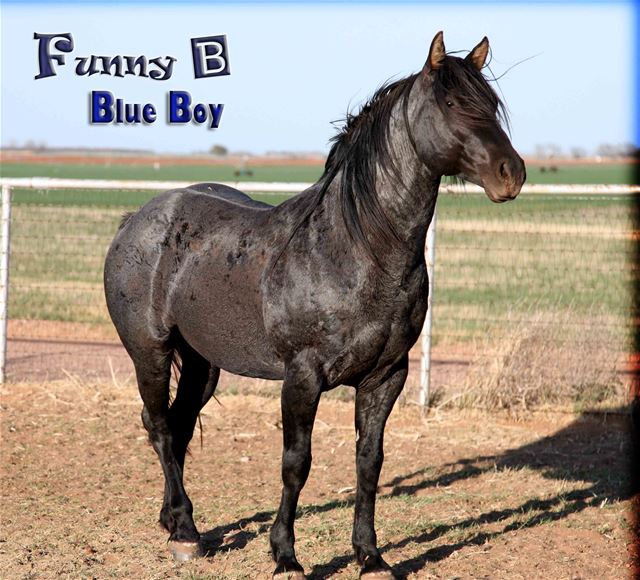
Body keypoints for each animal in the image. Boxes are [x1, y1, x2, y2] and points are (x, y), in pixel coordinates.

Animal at [104, 31, 525, 579]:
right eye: (452, 103)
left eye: (492, 104)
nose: (511, 173)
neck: (354, 248)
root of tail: (137, 219)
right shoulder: (302, 377)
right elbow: (296, 463)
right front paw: (286, 555)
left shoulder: (386, 375)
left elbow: (370, 462)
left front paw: (370, 555)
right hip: (150, 353)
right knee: (157, 425)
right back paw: (186, 534)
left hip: (202, 362)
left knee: (177, 427)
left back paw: (176, 521)